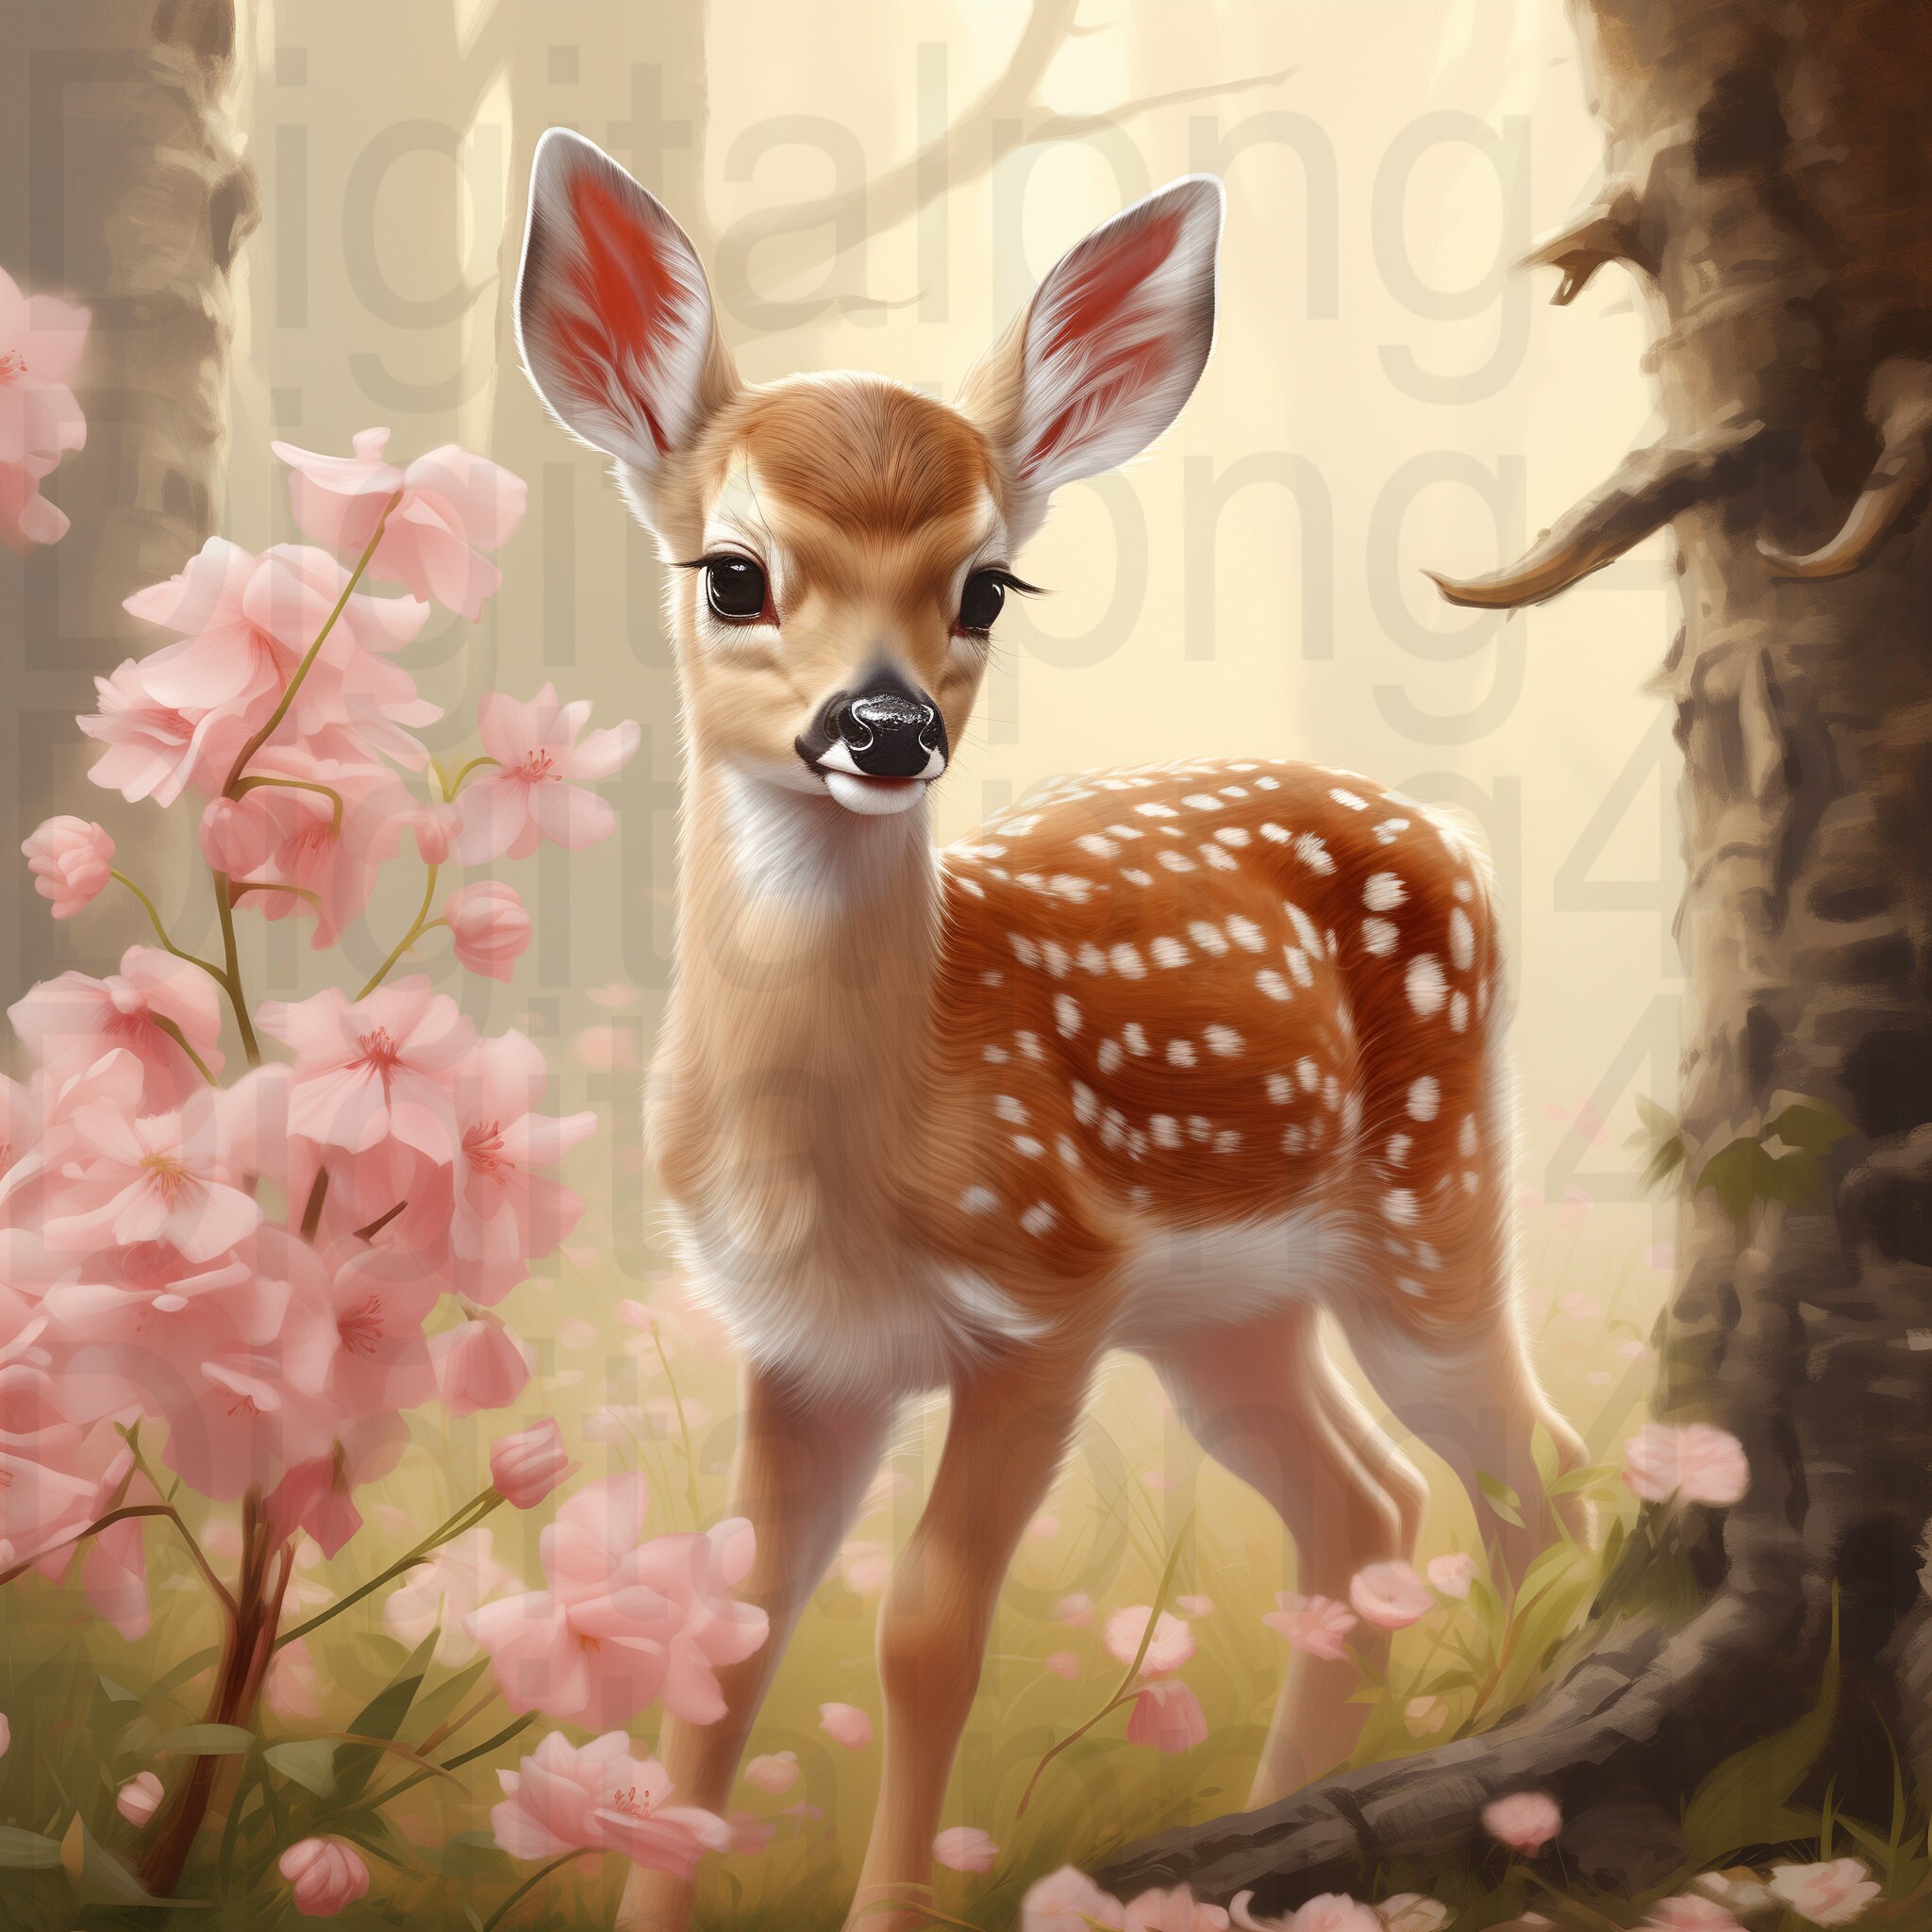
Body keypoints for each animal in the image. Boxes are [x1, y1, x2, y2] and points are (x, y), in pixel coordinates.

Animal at [512, 129, 1584, 1932]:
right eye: (733, 572)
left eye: (985, 581)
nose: (884, 725)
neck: (870, 1142)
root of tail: (1447, 831)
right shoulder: (804, 1345)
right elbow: (731, 1637)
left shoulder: (1046, 1296)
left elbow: (928, 1633)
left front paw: (893, 1908)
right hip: (1224, 1311)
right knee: (1367, 1502)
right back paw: (1283, 1820)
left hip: (1425, 1199)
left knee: (1532, 1467)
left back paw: (1499, 1783)